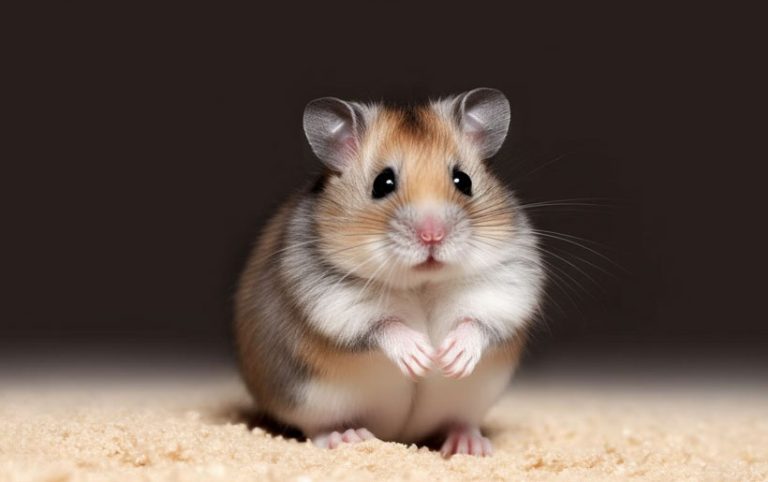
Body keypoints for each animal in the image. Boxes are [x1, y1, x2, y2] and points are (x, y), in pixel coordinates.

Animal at [234, 88, 544, 457]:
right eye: (382, 183)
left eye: (463, 180)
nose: (432, 236)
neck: (423, 284)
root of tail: (401, 434)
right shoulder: (331, 298)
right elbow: (384, 325)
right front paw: (421, 357)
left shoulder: (507, 285)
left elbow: (476, 322)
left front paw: (449, 358)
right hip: (305, 398)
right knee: (318, 429)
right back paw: (348, 437)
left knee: (460, 420)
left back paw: (469, 445)